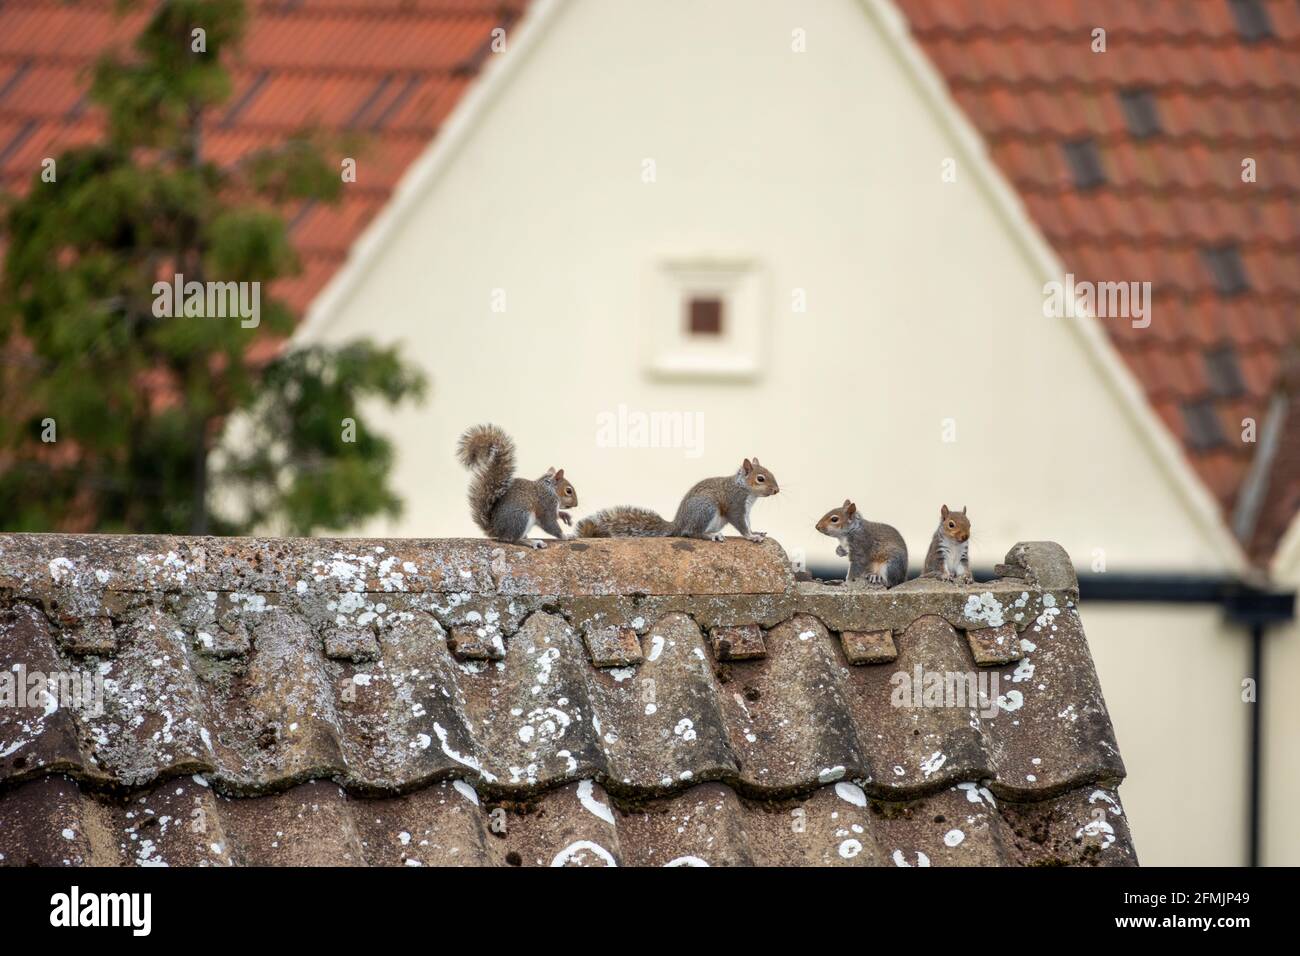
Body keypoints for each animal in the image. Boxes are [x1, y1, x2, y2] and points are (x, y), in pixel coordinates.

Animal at [576, 458, 779, 542]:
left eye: (771, 472)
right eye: (761, 478)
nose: (776, 490)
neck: (744, 488)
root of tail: (678, 524)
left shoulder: (746, 510)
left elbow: (748, 522)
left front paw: (756, 532)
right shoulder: (735, 504)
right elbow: (741, 524)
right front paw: (751, 537)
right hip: (706, 509)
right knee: (691, 533)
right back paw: (710, 535)